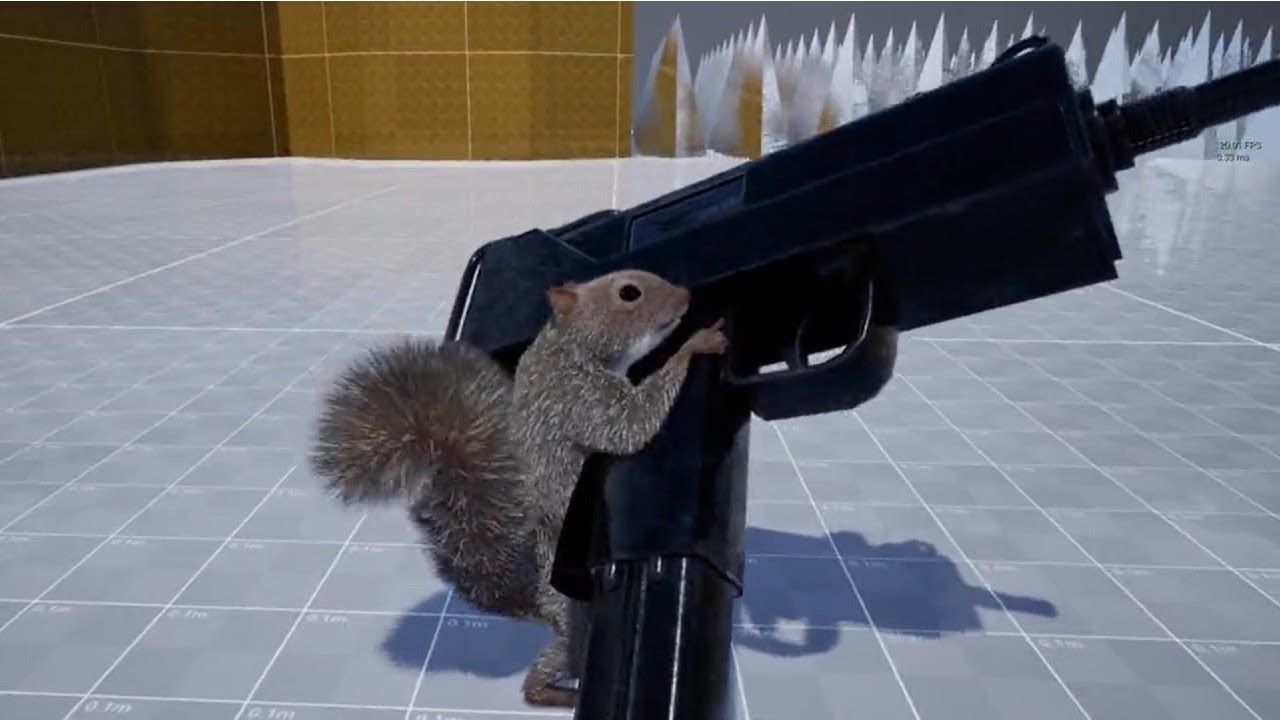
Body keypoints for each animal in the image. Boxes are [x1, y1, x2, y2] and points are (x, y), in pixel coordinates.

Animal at [310, 269, 728, 707]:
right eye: (629, 292)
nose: (685, 295)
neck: (567, 343)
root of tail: (528, 598)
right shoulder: (578, 397)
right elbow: (629, 425)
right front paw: (696, 344)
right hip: (571, 612)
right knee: (546, 672)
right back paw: (554, 694)